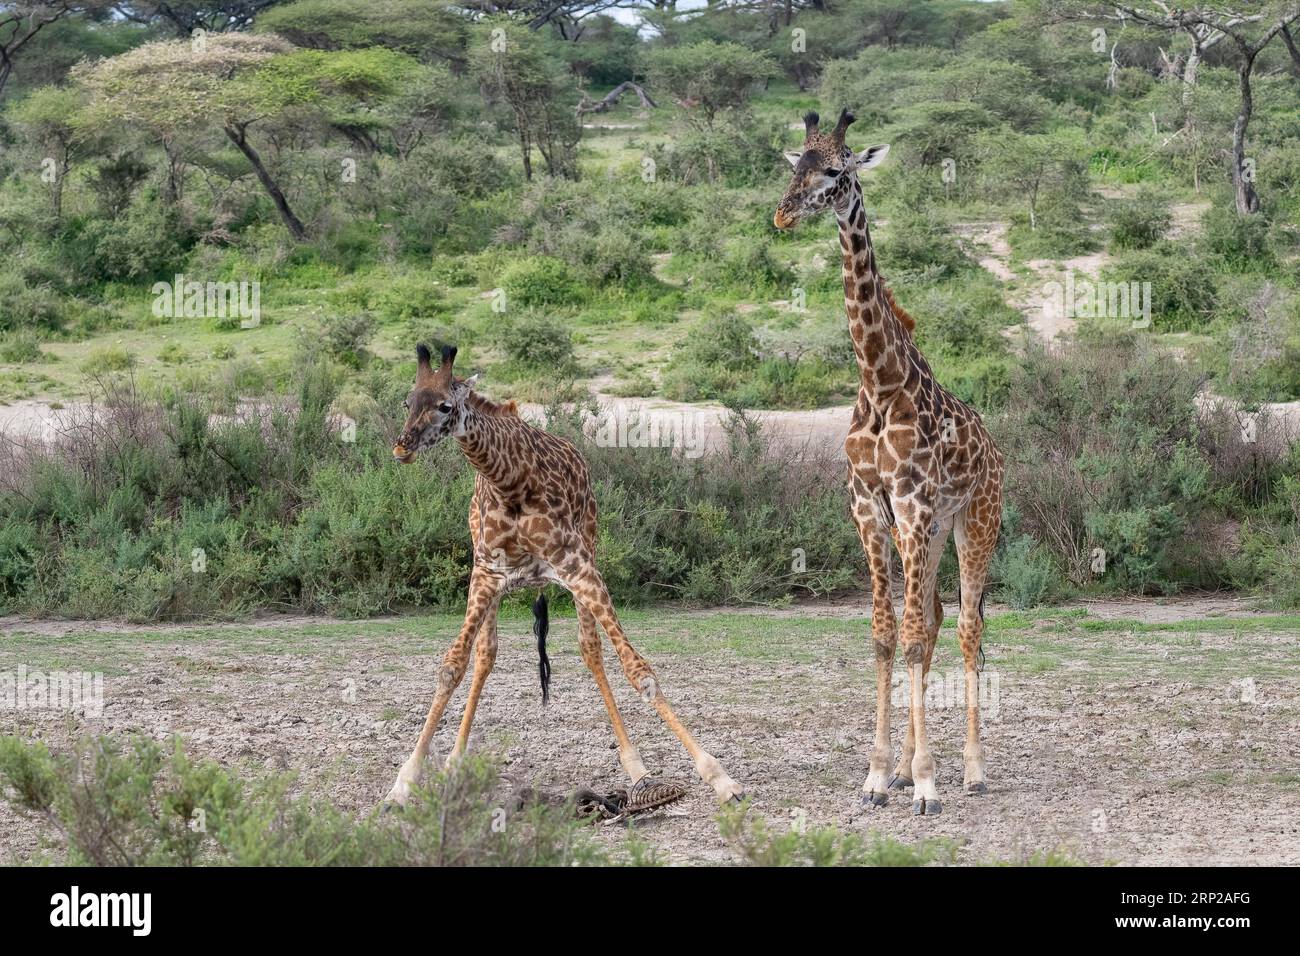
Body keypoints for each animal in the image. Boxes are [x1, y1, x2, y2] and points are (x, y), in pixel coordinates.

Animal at [383, 344, 745, 807]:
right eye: (408, 402)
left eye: (445, 405)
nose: (401, 448)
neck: (508, 480)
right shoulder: (485, 573)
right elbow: (453, 666)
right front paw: (403, 783)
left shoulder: (579, 567)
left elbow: (637, 669)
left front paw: (719, 777)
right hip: (499, 586)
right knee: (486, 655)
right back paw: (454, 763)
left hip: (584, 558)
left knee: (591, 650)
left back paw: (638, 769)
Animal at [774, 110, 1004, 815]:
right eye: (795, 165)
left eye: (834, 169)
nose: (783, 214)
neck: (878, 382)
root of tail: (998, 451)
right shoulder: (869, 507)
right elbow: (886, 635)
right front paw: (880, 775)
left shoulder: (914, 503)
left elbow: (911, 638)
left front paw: (928, 784)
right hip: (930, 533)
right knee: (930, 623)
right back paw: (906, 766)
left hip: (973, 523)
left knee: (967, 628)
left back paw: (972, 770)